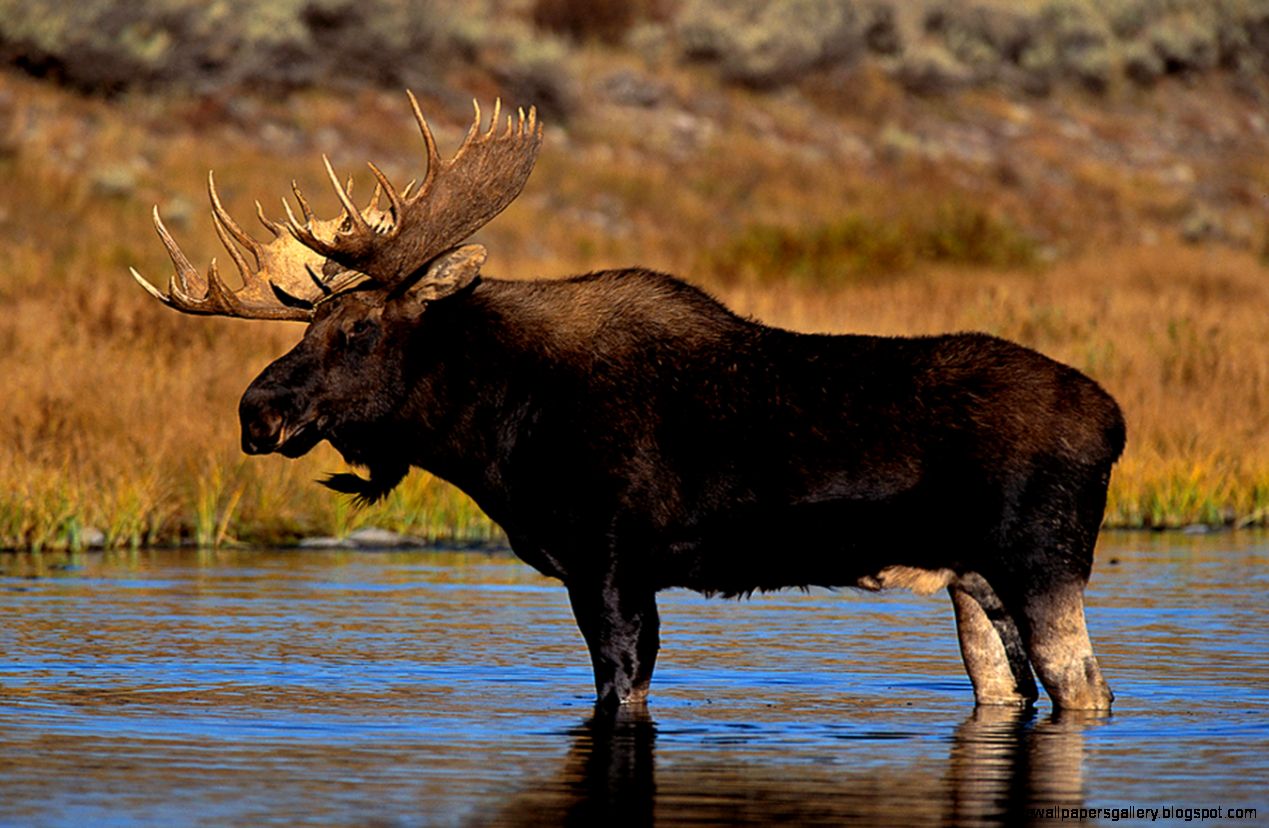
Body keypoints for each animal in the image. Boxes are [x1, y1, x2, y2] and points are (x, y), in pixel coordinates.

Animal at [132, 92, 1123, 712]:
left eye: (360, 328)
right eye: (310, 322)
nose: (256, 412)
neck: (496, 433)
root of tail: (1113, 420)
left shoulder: (607, 560)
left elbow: (621, 688)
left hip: (1039, 561)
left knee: (1085, 687)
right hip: (970, 583)